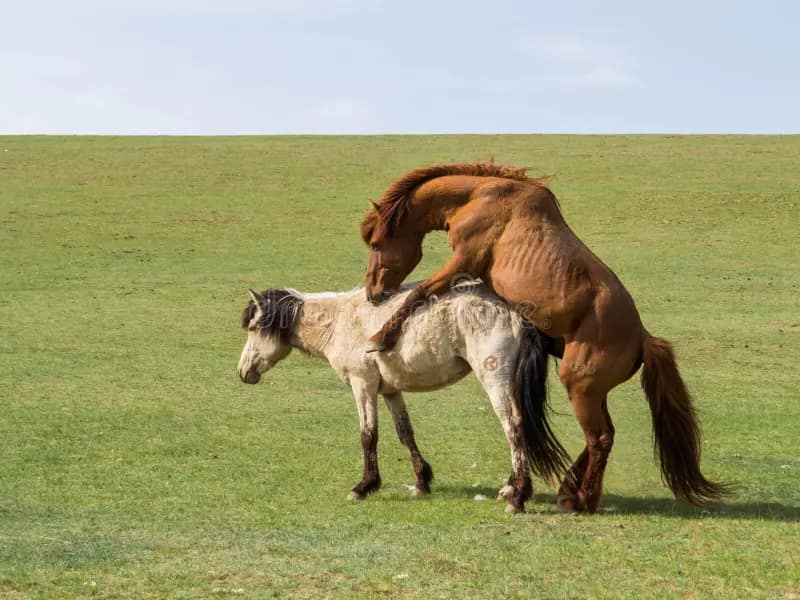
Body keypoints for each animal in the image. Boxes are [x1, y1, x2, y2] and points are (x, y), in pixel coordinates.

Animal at [237, 282, 569, 513]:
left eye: (253, 327)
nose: (242, 371)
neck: (341, 322)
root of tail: (516, 312)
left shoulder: (363, 386)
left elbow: (368, 435)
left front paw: (363, 487)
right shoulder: (390, 390)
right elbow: (405, 432)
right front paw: (422, 482)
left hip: (496, 380)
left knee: (513, 428)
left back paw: (518, 497)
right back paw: (509, 488)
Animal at [360, 162, 729, 513]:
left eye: (377, 244)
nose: (372, 293)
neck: (477, 196)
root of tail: (642, 338)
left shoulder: (462, 262)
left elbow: (419, 293)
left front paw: (380, 336)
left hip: (579, 387)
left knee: (600, 438)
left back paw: (581, 500)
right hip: (590, 391)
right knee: (602, 435)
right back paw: (567, 492)